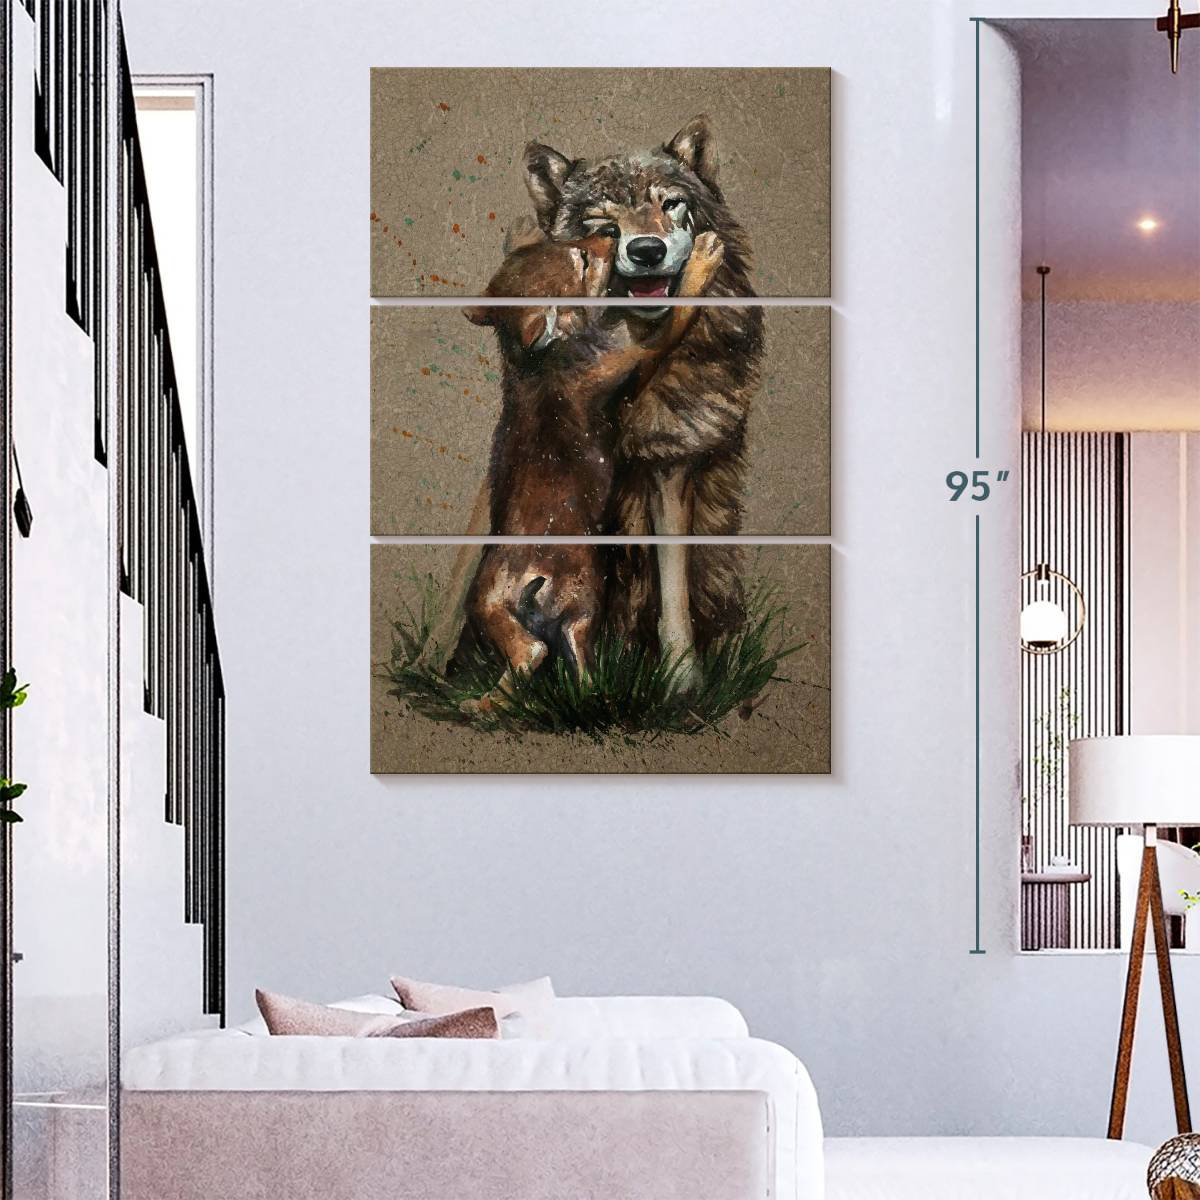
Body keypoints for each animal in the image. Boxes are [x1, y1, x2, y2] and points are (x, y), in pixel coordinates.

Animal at [454, 229, 726, 712]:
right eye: (582, 260)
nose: (610, 233)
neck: (540, 359)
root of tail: (535, 575)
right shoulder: (634, 358)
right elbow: (676, 315)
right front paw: (702, 262)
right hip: (575, 611)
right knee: (549, 659)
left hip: (498, 605)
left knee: (546, 664)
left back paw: (486, 706)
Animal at [523, 115, 765, 686]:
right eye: (603, 225)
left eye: (670, 203)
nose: (647, 250)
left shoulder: (668, 462)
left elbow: (672, 584)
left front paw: (680, 681)